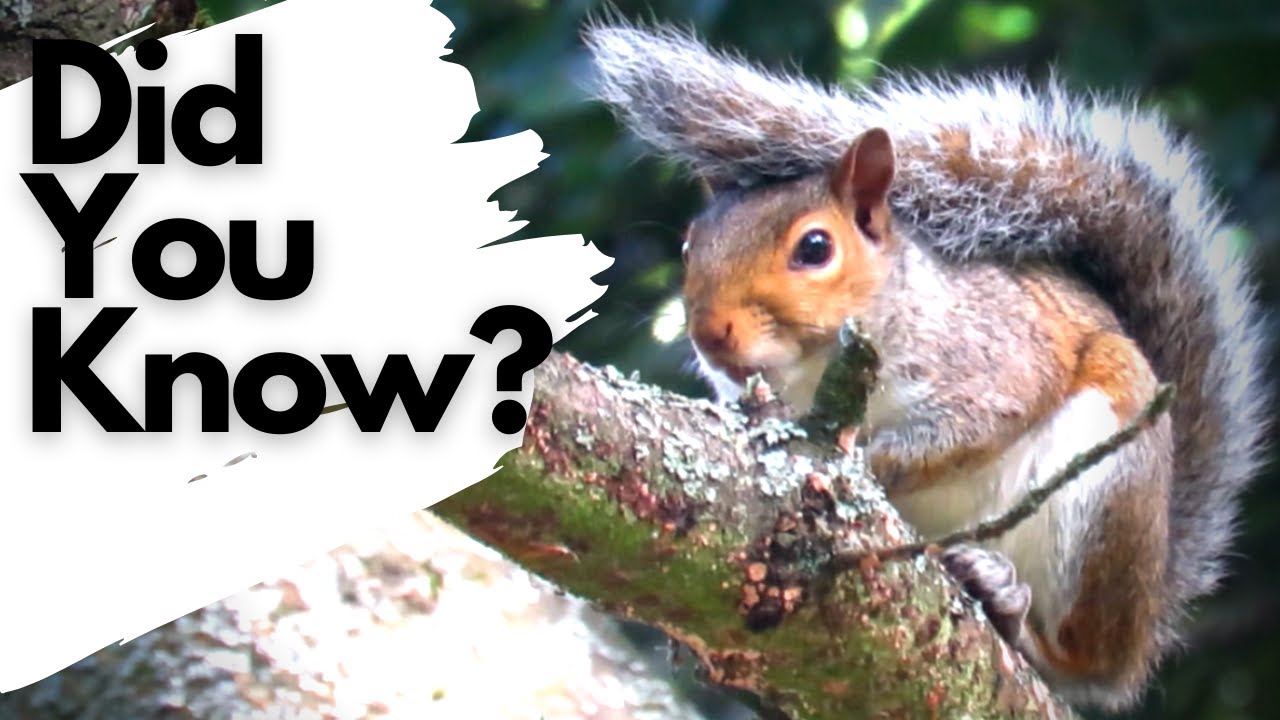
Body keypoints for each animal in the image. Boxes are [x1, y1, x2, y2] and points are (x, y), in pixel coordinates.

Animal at [585, 22, 1269, 710]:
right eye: (689, 246)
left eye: (815, 247)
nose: (708, 332)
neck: (811, 374)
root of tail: (1143, 628)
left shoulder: (993, 353)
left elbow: (978, 420)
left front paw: (866, 463)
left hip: (1107, 486)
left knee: (1075, 658)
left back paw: (1016, 614)